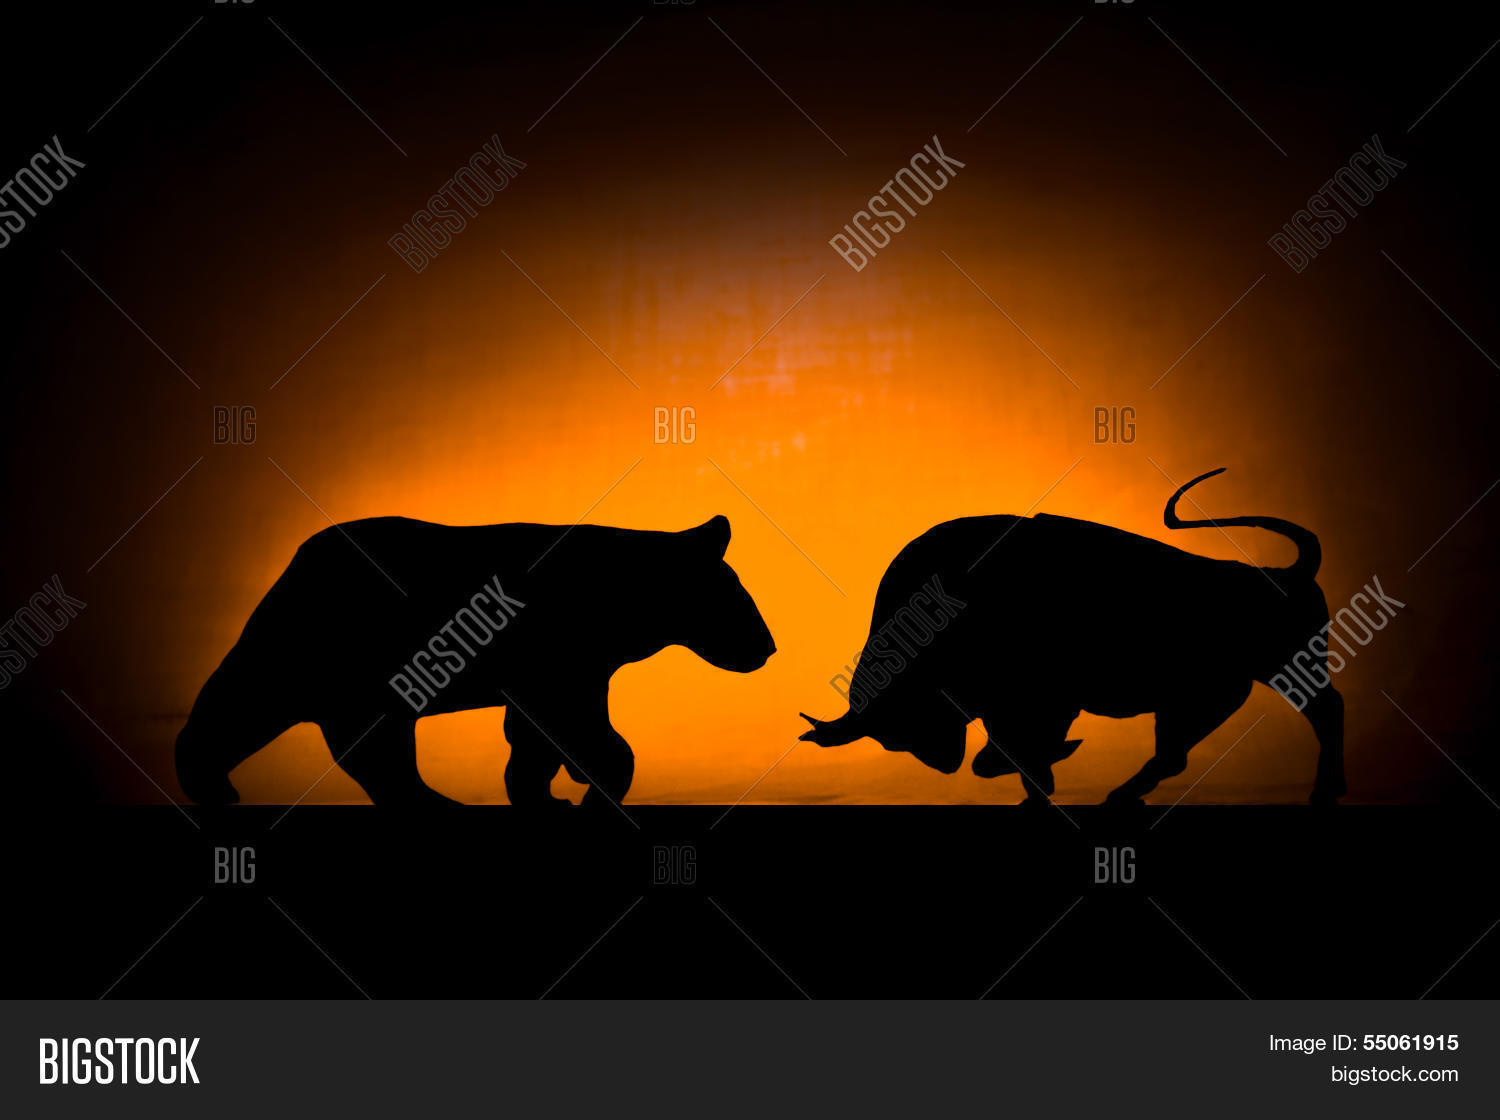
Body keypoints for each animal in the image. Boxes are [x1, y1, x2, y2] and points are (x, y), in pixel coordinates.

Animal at [175, 514, 775, 807]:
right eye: (737, 593)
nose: (767, 646)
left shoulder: (577, 665)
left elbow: (535, 736)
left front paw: (548, 791)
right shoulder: (556, 657)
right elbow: (577, 728)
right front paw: (592, 782)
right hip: (325, 642)